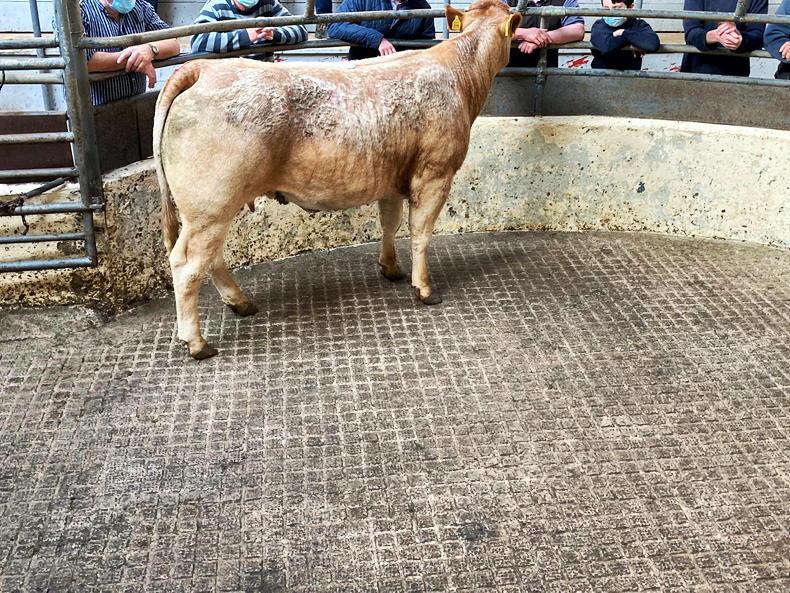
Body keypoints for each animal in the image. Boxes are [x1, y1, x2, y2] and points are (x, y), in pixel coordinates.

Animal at [154, 0, 522, 359]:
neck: (460, 71)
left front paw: (390, 268)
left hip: (209, 209)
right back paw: (197, 342)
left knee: (211, 258)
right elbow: (420, 232)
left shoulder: (392, 176)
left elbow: (390, 223)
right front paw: (424, 288)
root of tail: (203, 68)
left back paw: (241, 303)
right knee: (187, 265)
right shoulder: (435, 173)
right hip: (211, 205)